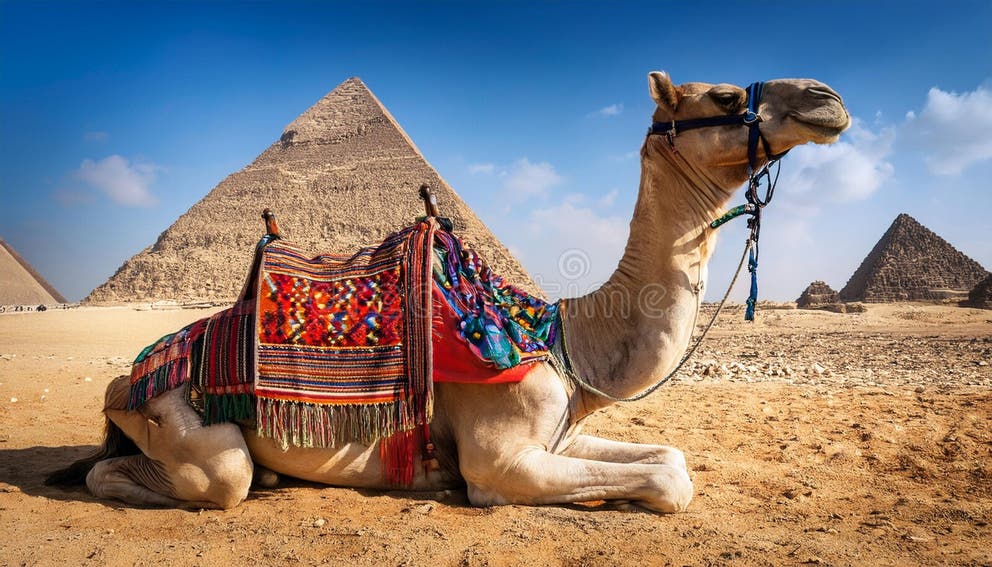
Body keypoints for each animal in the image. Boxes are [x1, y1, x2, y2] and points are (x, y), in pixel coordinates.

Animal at [47, 72, 849, 512]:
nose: (827, 98)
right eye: (723, 92)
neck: (566, 336)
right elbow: (668, 484)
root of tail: (127, 377)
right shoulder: (505, 461)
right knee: (150, 474)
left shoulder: (564, 431)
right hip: (184, 429)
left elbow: (671, 461)